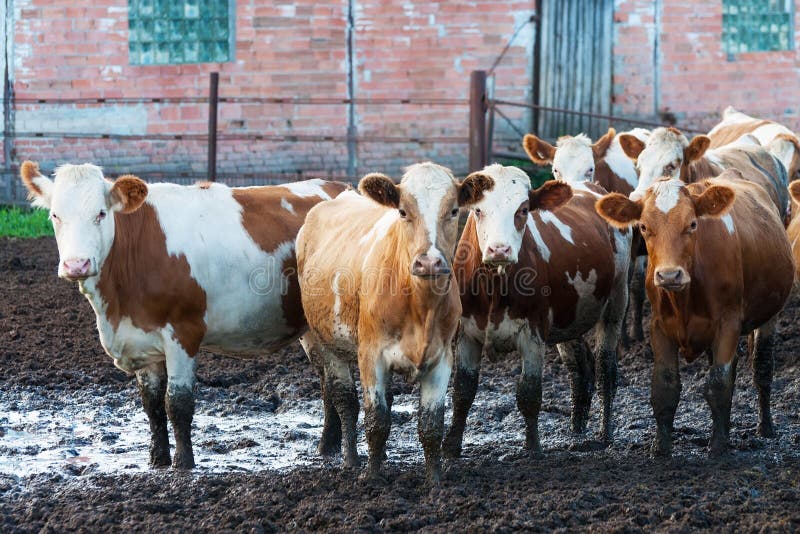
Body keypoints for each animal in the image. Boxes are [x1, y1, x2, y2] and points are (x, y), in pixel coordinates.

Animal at [20, 160, 347, 469]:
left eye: (100, 213)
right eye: (55, 216)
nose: (76, 265)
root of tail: (339, 186)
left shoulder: (183, 332)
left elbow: (178, 402)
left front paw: (183, 464)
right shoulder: (141, 342)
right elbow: (152, 404)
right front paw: (157, 460)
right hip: (311, 328)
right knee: (326, 379)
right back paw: (327, 447)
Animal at [296, 162, 491, 484]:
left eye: (453, 210)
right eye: (402, 211)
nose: (429, 262)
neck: (419, 306)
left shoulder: (442, 359)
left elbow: (431, 424)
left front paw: (435, 480)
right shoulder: (370, 355)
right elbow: (377, 419)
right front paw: (372, 476)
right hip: (326, 343)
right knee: (344, 399)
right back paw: (351, 458)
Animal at [441, 164, 631, 459]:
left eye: (523, 209)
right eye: (478, 210)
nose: (499, 249)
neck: (495, 283)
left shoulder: (533, 333)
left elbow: (529, 392)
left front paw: (532, 448)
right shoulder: (467, 333)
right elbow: (463, 390)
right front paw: (451, 446)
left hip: (616, 301)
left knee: (605, 368)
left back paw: (605, 433)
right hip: (570, 315)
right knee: (579, 368)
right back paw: (576, 432)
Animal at [596, 172, 793, 456]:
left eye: (692, 224)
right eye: (643, 226)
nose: (669, 275)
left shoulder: (728, 324)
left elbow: (719, 384)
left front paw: (719, 446)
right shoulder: (659, 326)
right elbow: (665, 387)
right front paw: (661, 448)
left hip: (769, 316)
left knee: (762, 367)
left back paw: (765, 426)